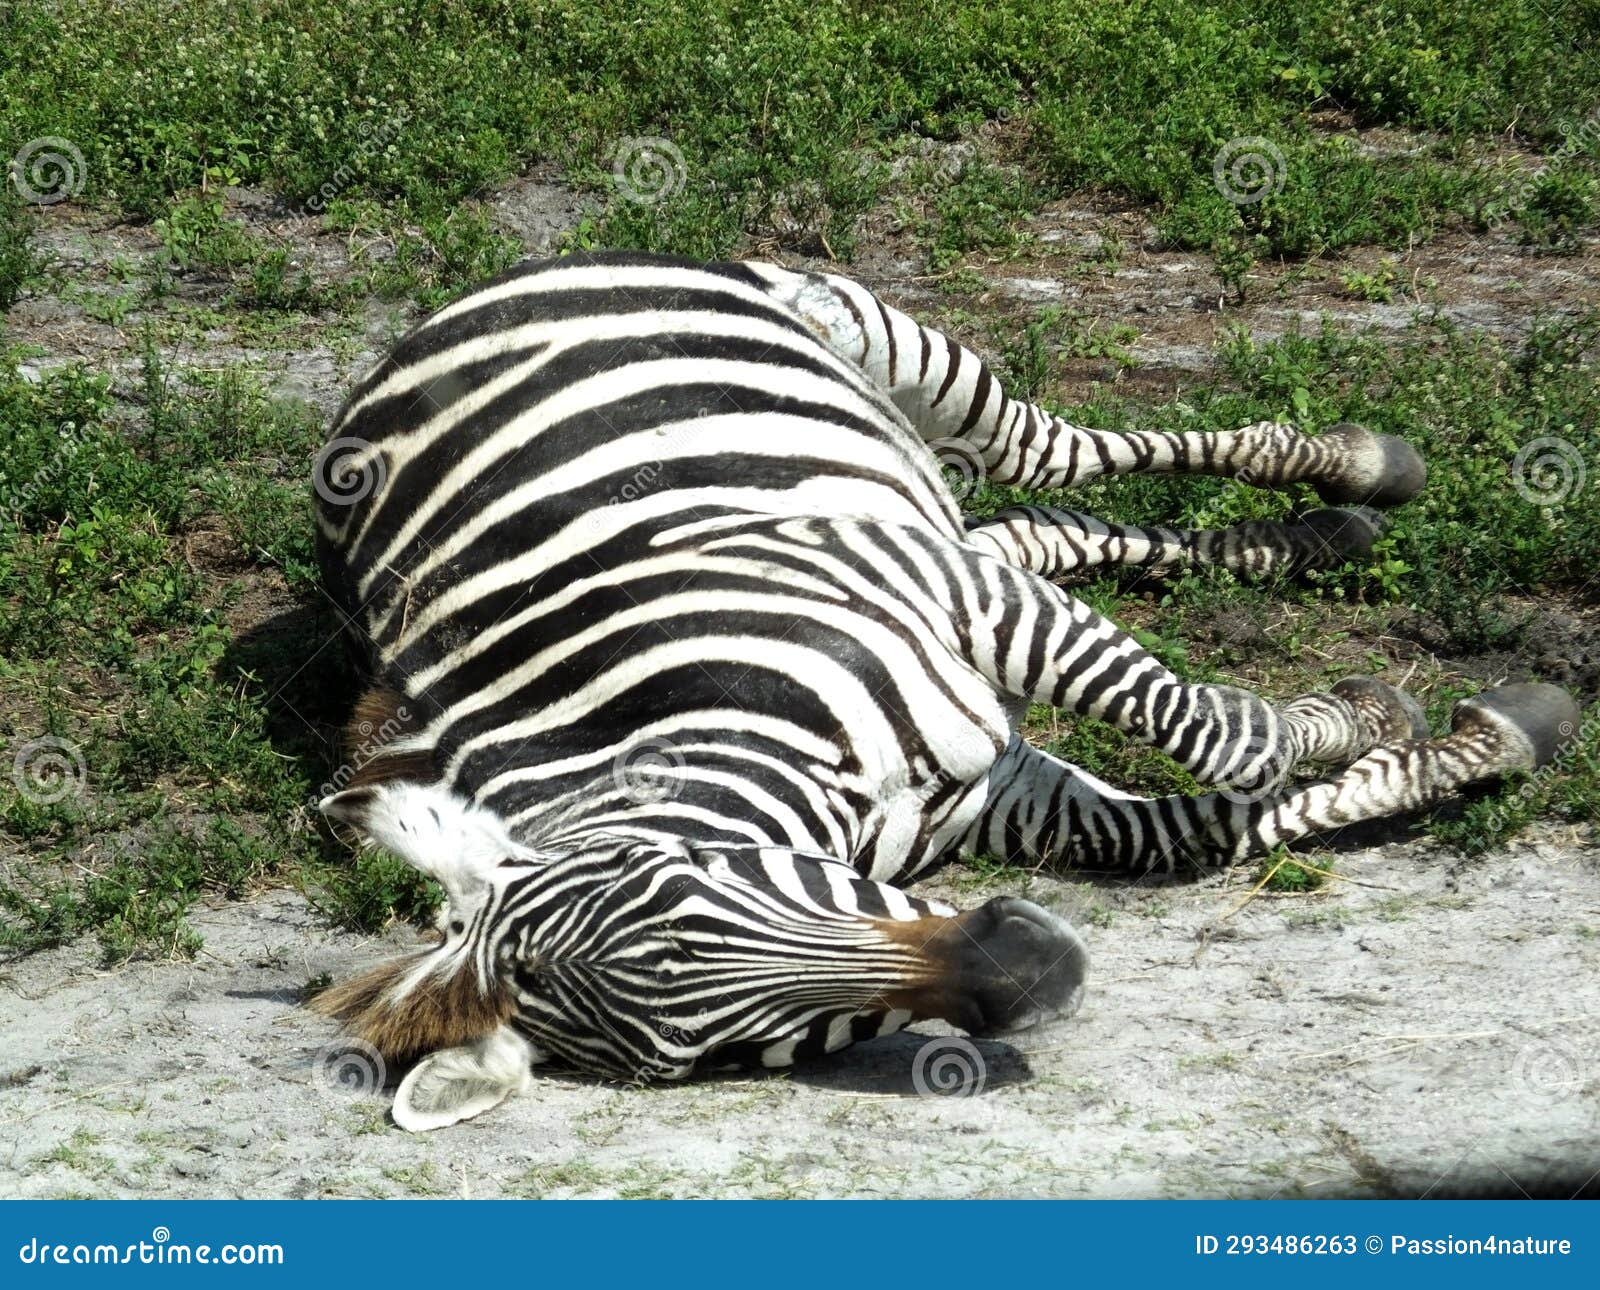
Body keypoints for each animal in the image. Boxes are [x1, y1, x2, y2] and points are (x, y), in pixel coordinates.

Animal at [310, 251, 1578, 1131]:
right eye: (729, 1052)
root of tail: (405, 339)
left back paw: (1356, 472)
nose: (1036, 973)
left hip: (875, 351)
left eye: (698, 879)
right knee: (1038, 522)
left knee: (1057, 456)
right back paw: (1312, 538)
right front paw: (1442, 741)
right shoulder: (1003, 777)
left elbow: (1224, 740)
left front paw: (1388, 719)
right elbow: (1188, 829)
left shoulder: (945, 597)